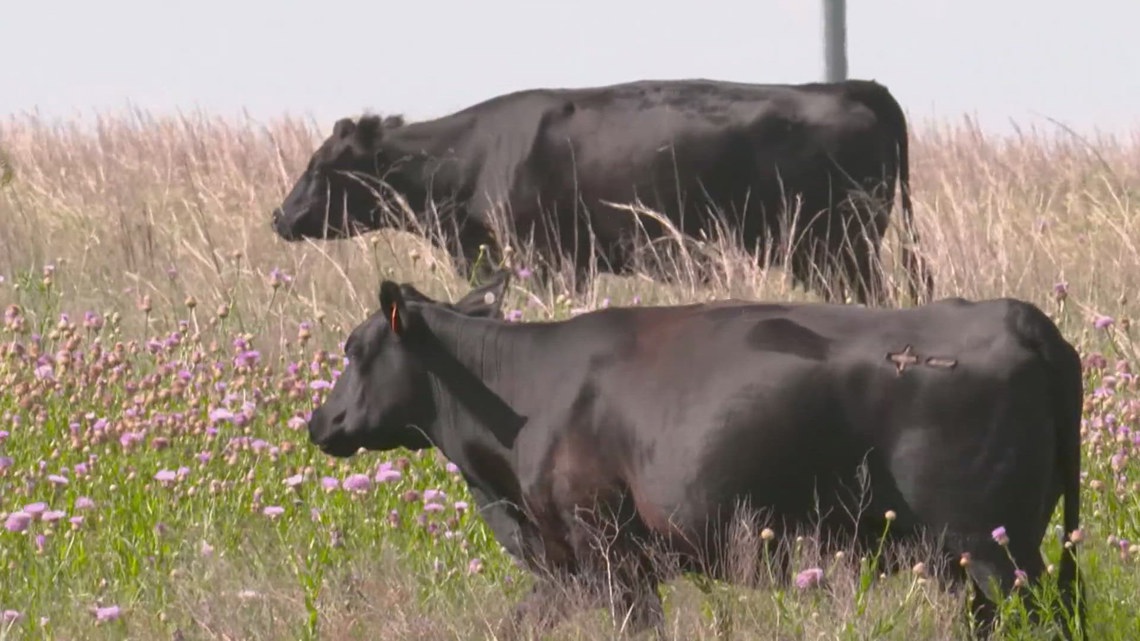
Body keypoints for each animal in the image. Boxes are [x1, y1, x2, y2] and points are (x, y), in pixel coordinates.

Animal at [304, 270, 1084, 640]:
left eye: (354, 348)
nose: (319, 419)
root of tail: (1019, 315)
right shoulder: (573, 564)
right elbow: (517, 623)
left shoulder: (607, 548)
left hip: (991, 547)